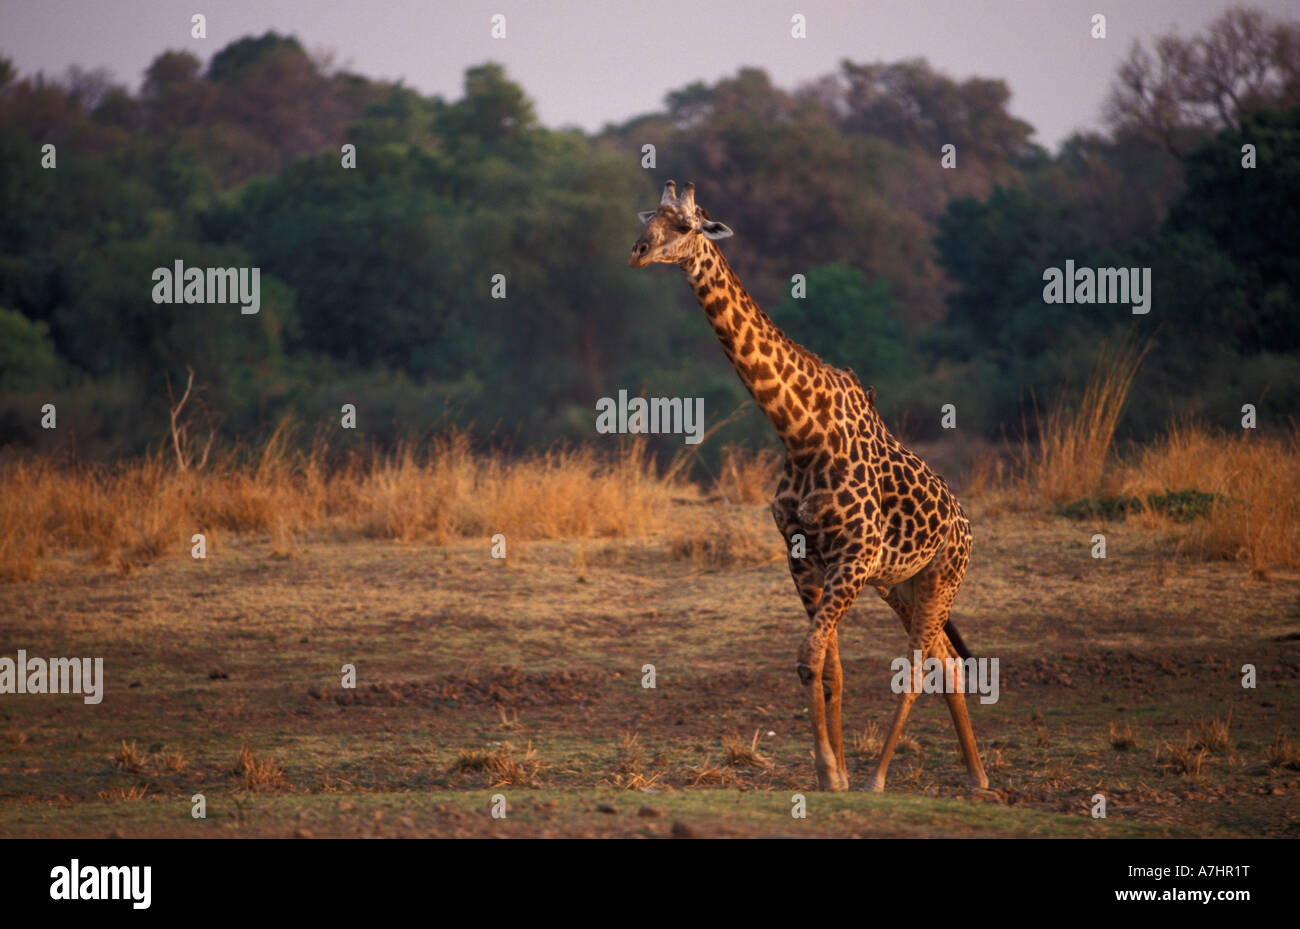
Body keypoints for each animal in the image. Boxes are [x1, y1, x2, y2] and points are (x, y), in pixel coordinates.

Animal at [629, 181, 988, 792]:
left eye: (686, 225)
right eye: (650, 216)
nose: (638, 250)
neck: (799, 431)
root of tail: (964, 524)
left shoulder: (853, 559)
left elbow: (808, 657)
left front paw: (835, 773)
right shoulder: (803, 557)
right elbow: (828, 668)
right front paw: (831, 777)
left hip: (941, 577)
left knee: (920, 666)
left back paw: (881, 779)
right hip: (902, 584)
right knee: (946, 661)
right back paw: (977, 778)